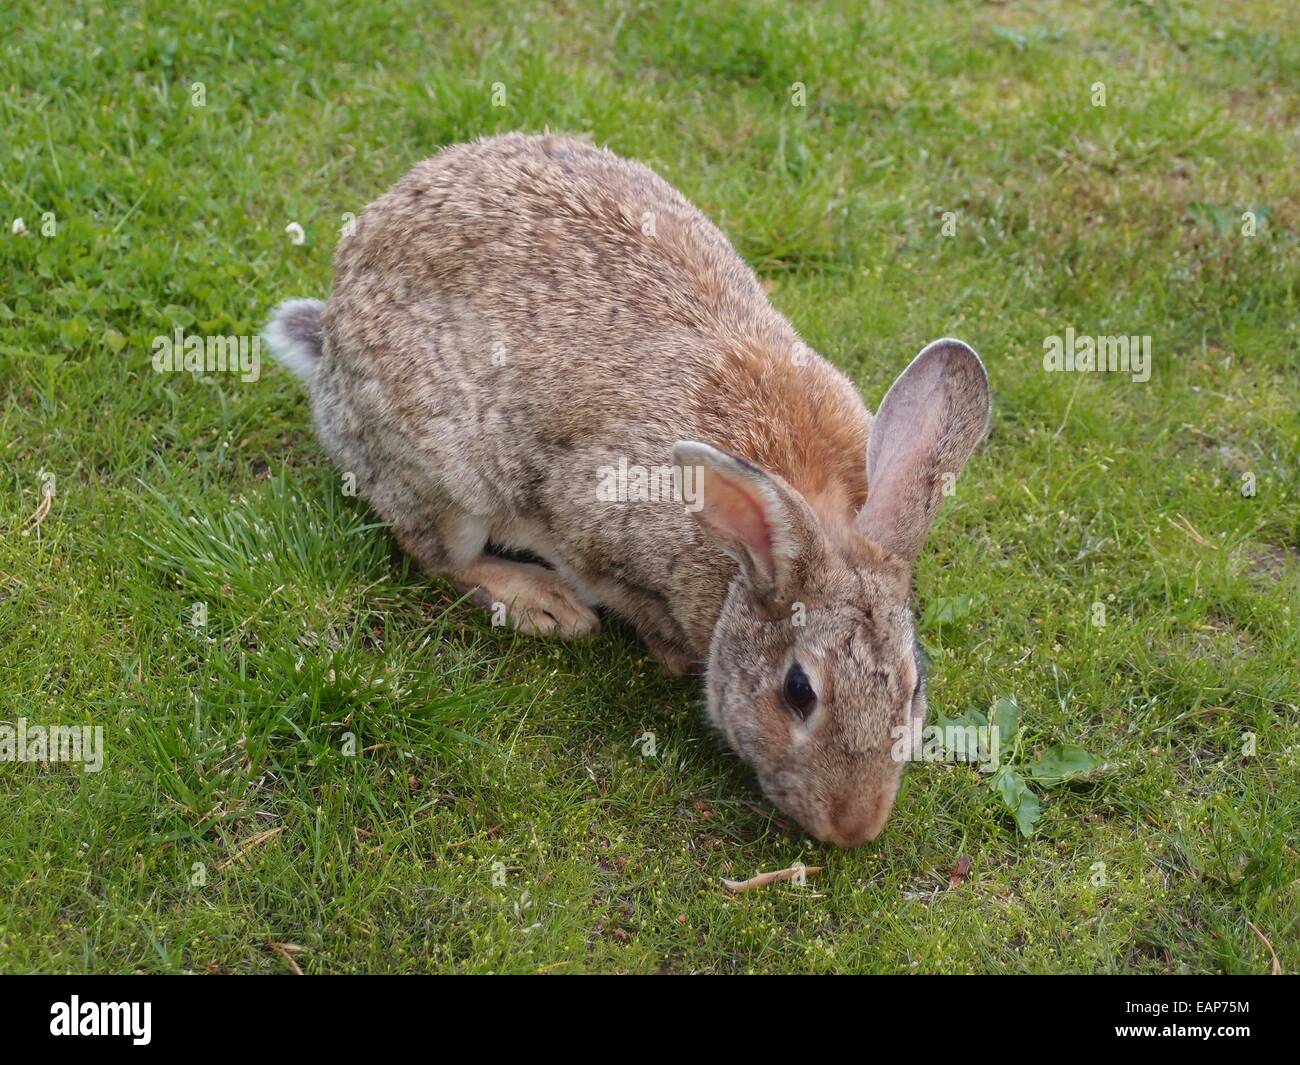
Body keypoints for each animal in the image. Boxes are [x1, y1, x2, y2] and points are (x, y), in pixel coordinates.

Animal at [264, 132, 990, 846]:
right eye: (798, 691)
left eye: (913, 685)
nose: (854, 827)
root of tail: (331, 338)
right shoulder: (592, 537)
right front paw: (664, 650)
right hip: (445, 475)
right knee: (437, 553)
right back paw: (540, 603)